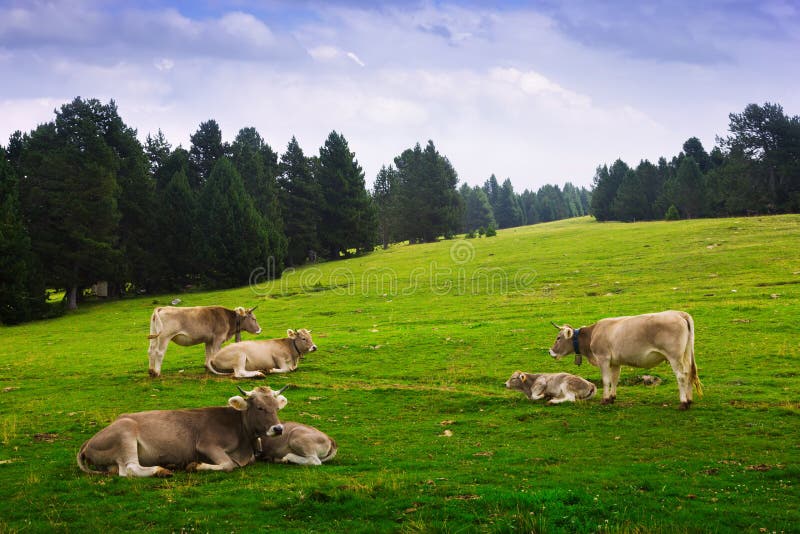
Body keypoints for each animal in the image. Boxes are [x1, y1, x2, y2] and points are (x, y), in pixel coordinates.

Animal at [76, 386, 288, 477]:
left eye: (277, 407)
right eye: (259, 407)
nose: (278, 429)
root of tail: (88, 442)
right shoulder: (206, 444)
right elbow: (229, 465)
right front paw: (195, 465)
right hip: (125, 432)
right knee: (128, 469)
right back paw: (161, 470)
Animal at [548, 310, 702, 409]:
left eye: (558, 338)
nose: (550, 352)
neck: (592, 334)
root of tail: (679, 313)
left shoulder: (603, 358)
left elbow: (606, 380)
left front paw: (605, 399)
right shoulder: (616, 362)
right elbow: (615, 379)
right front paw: (612, 397)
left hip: (674, 356)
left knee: (681, 376)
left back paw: (683, 403)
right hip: (686, 354)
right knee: (689, 373)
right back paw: (689, 400)